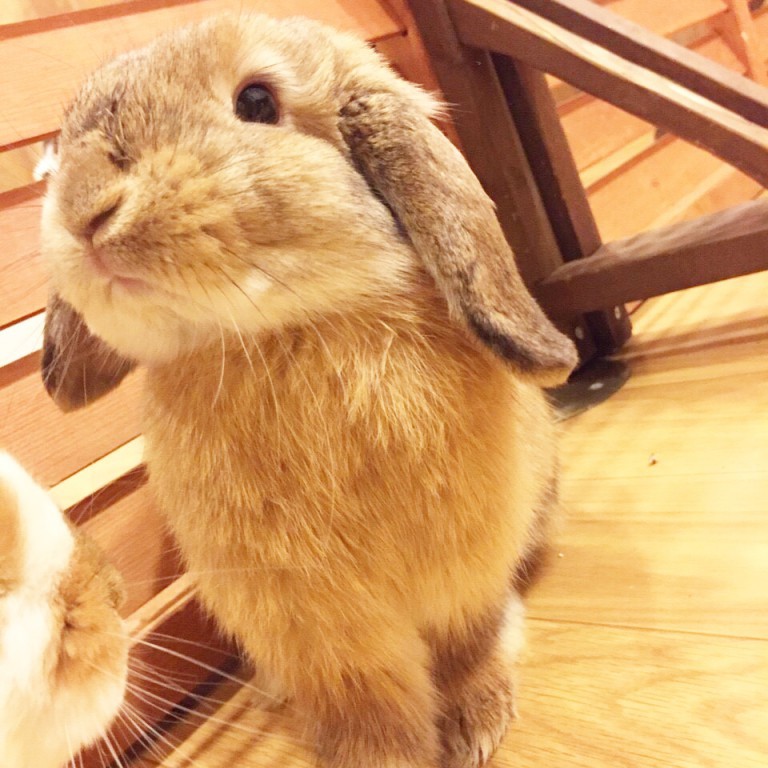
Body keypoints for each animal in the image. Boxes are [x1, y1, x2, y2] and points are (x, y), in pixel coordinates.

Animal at [39, 14, 577, 768]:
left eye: (258, 102)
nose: (85, 210)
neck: (283, 333)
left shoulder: (461, 580)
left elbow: (463, 647)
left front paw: (476, 725)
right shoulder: (318, 627)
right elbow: (366, 698)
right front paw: (377, 757)